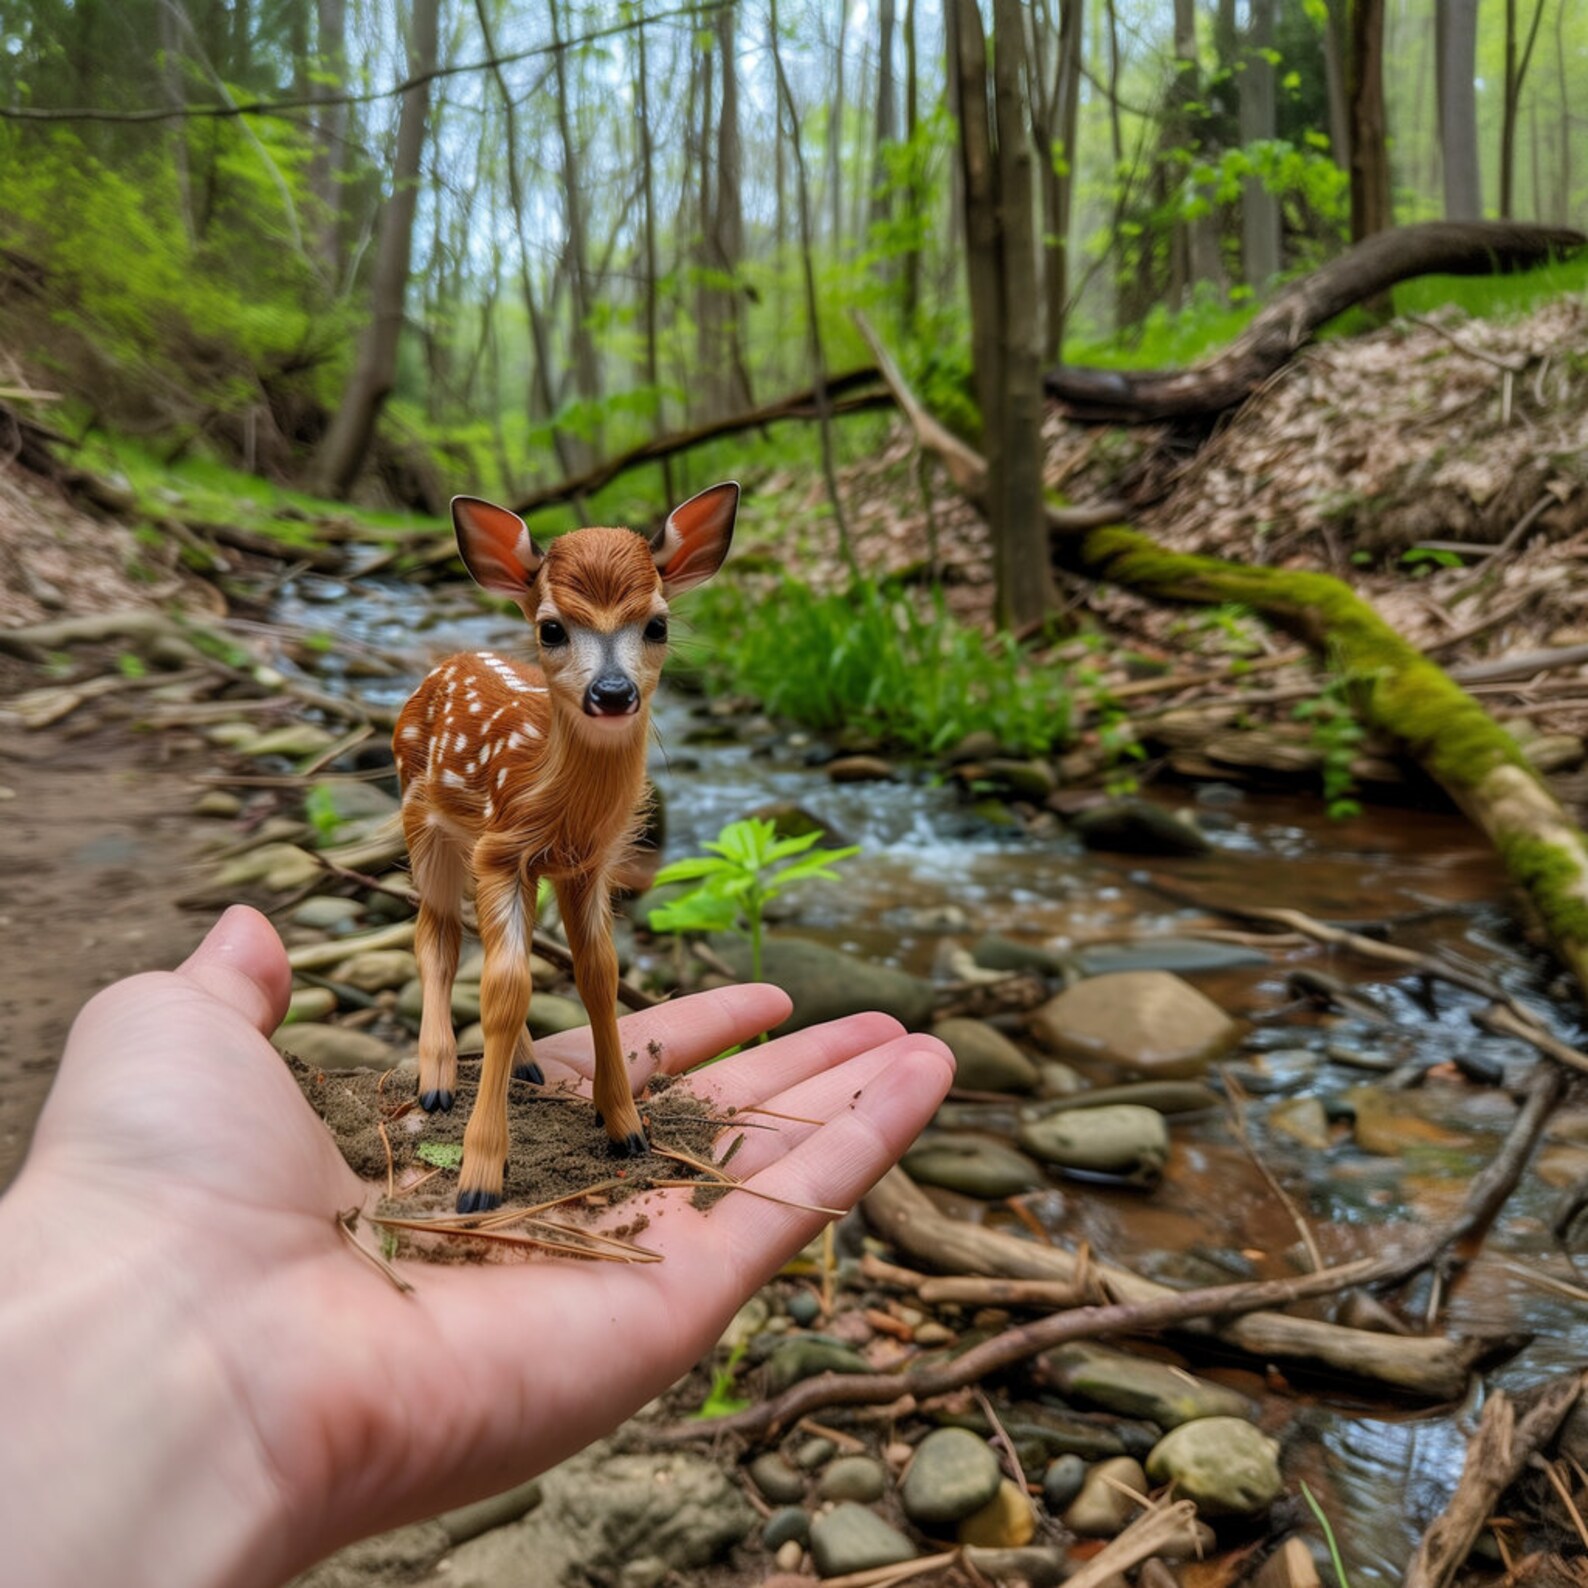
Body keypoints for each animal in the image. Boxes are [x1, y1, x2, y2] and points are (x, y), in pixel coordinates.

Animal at [392, 483, 739, 1213]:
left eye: (657, 624)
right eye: (552, 628)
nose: (611, 693)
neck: (549, 794)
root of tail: (447, 663)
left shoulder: (586, 865)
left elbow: (598, 976)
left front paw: (625, 1126)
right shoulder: (503, 849)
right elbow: (506, 988)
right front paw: (478, 1177)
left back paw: (524, 1063)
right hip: (423, 821)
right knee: (436, 937)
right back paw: (436, 1081)